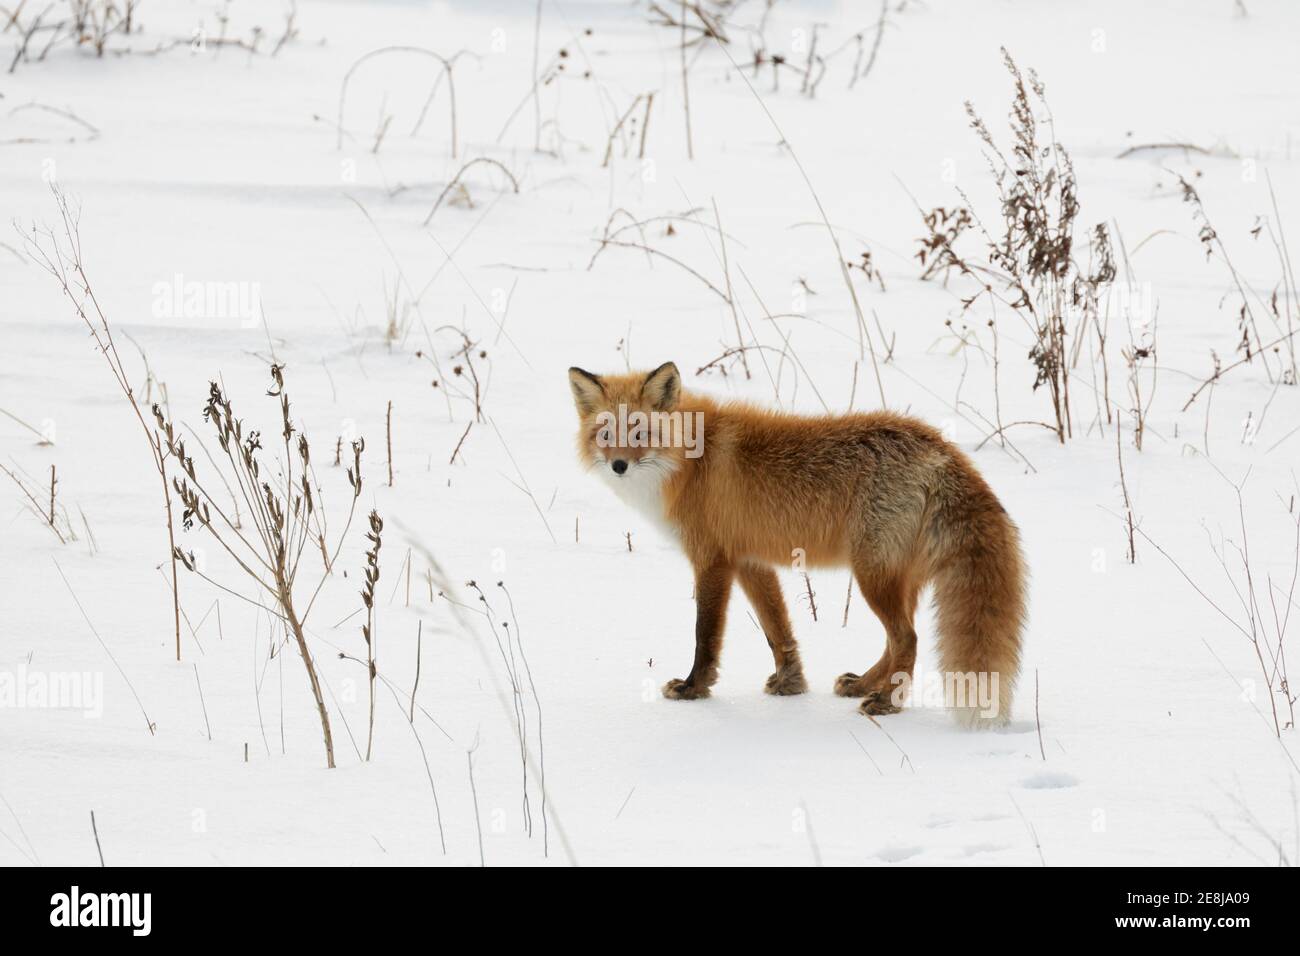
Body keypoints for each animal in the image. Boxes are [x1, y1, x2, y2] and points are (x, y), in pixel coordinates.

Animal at [568, 361, 1027, 727]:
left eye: (640, 433)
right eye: (606, 434)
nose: (619, 465)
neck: (689, 460)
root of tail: (941, 447)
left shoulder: (712, 559)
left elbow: (705, 634)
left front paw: (693, 688)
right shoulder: (749, 560)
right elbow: (777, 628)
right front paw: (792, 683)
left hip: (872, 575)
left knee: (908, 639)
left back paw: (886, 702)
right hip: (896, 577)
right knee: (895, 640)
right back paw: (863, 683)